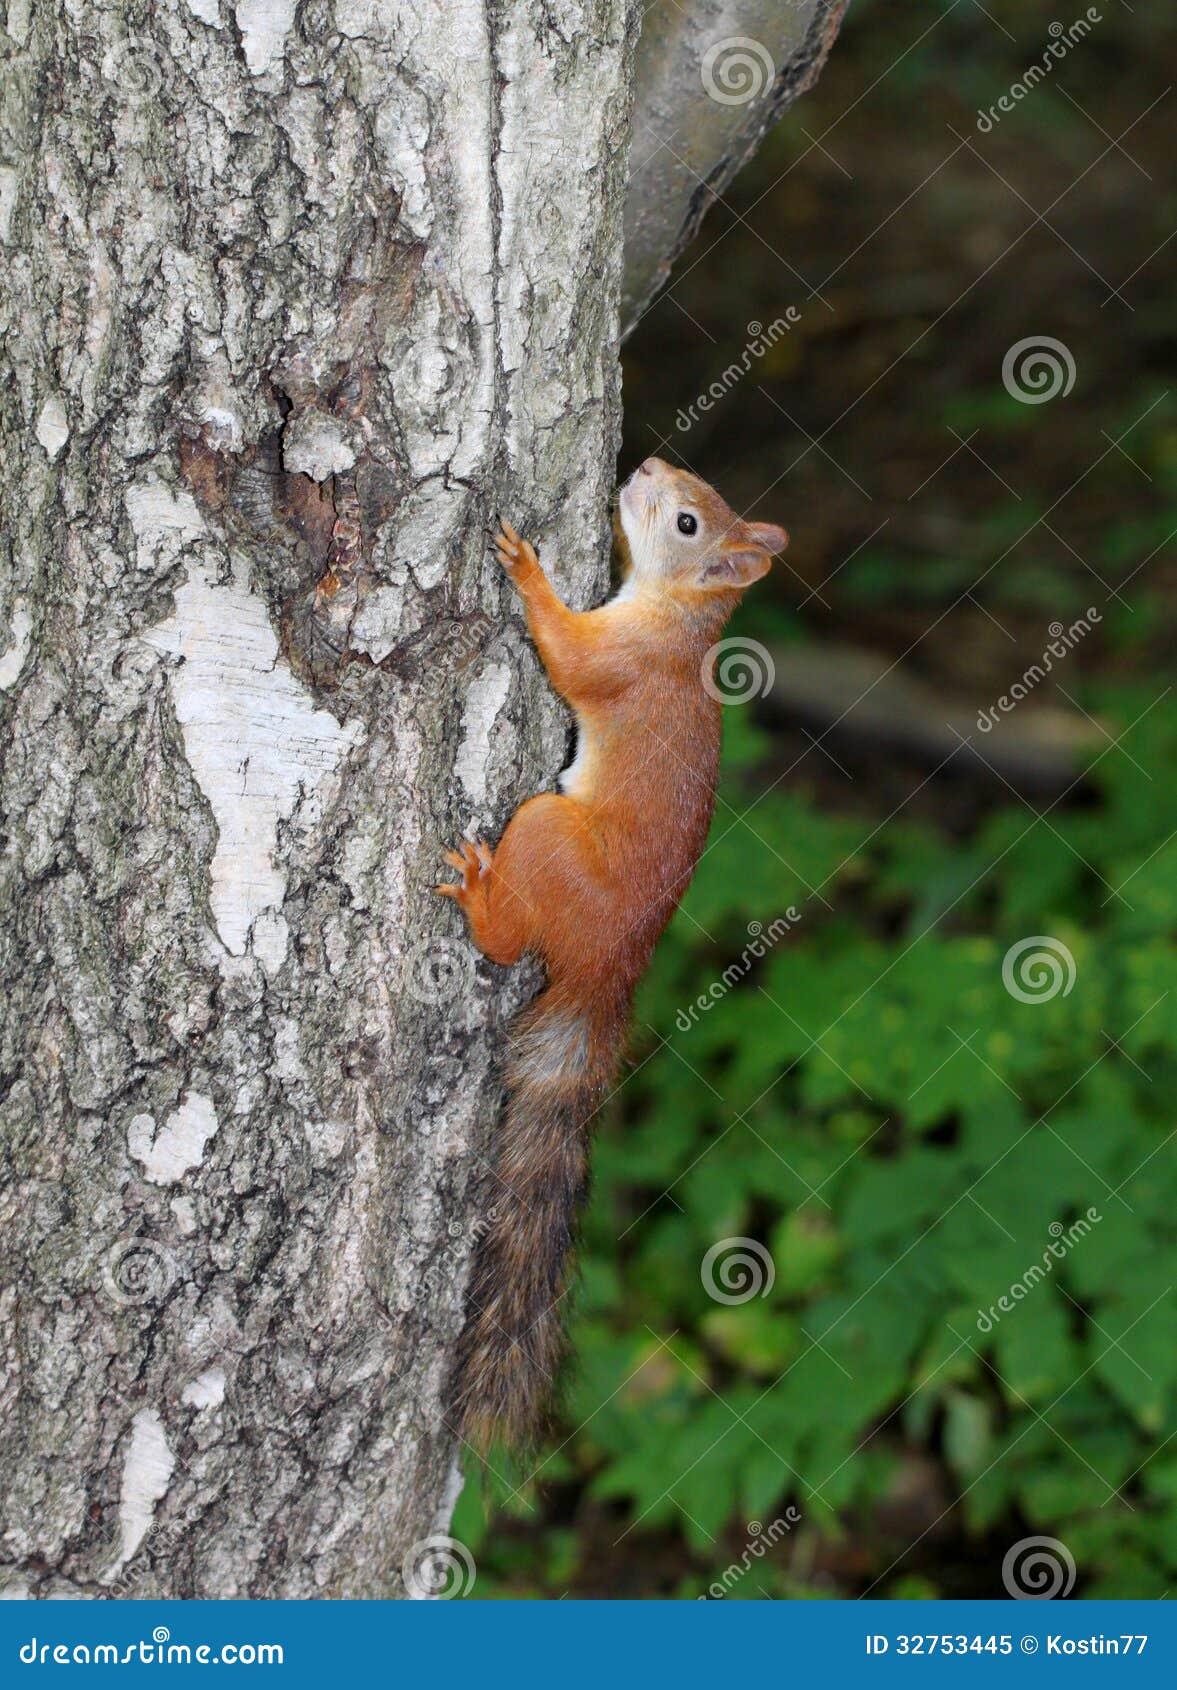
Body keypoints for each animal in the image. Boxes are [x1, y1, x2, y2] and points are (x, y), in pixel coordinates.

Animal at [437, 456, 788, 1451]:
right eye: (695, 490)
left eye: (684, 521)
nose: (646, 465)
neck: (679, 617)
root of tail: (612, 968)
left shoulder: (620, 660)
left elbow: (568, 654)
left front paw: (525, 569)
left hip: (546, 835)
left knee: (509, 927)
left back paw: (477, 896)